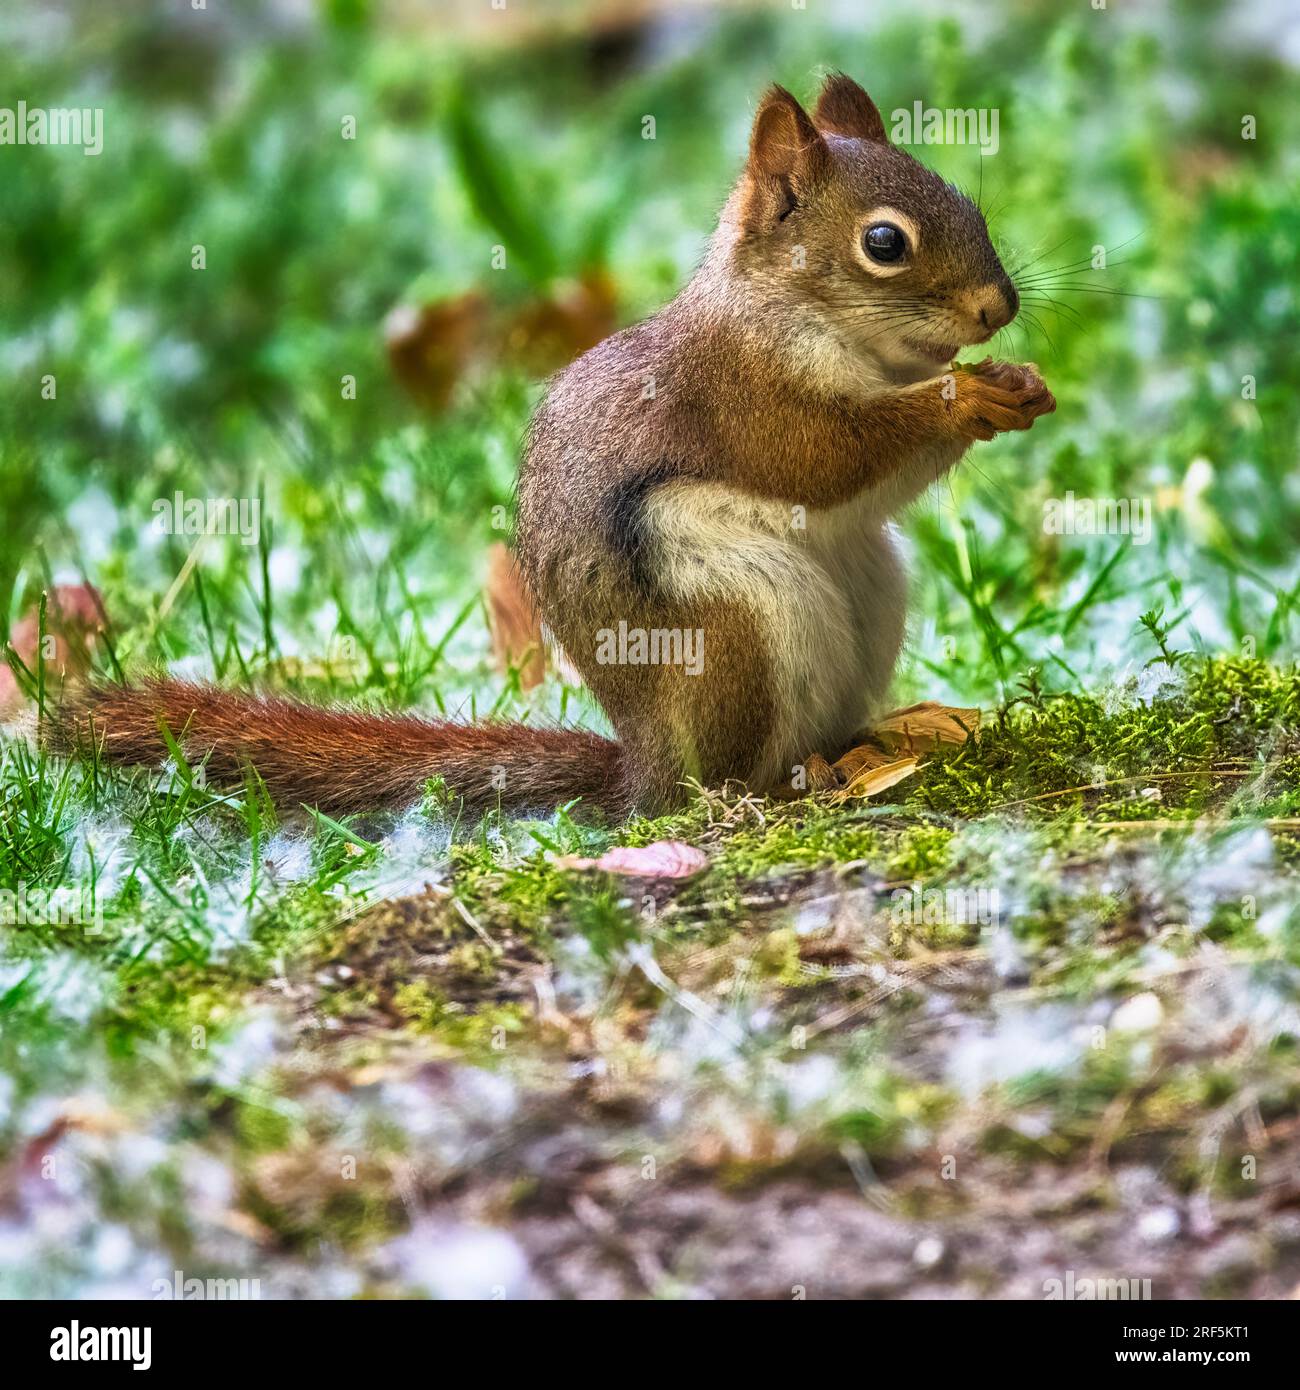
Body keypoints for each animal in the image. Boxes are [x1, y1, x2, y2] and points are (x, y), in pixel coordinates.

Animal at [47, 74, 1054, 820]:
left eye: (968, 203)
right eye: (884, 242)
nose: (997, 307)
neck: (796, 316)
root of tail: (644, 767)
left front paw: (1020, 383)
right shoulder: (744, 398)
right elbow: (825, 457)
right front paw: (963, 395)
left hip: (870, 588)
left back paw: (892, 738)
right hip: (741, 622)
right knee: (730, 776)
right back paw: (797, 782)